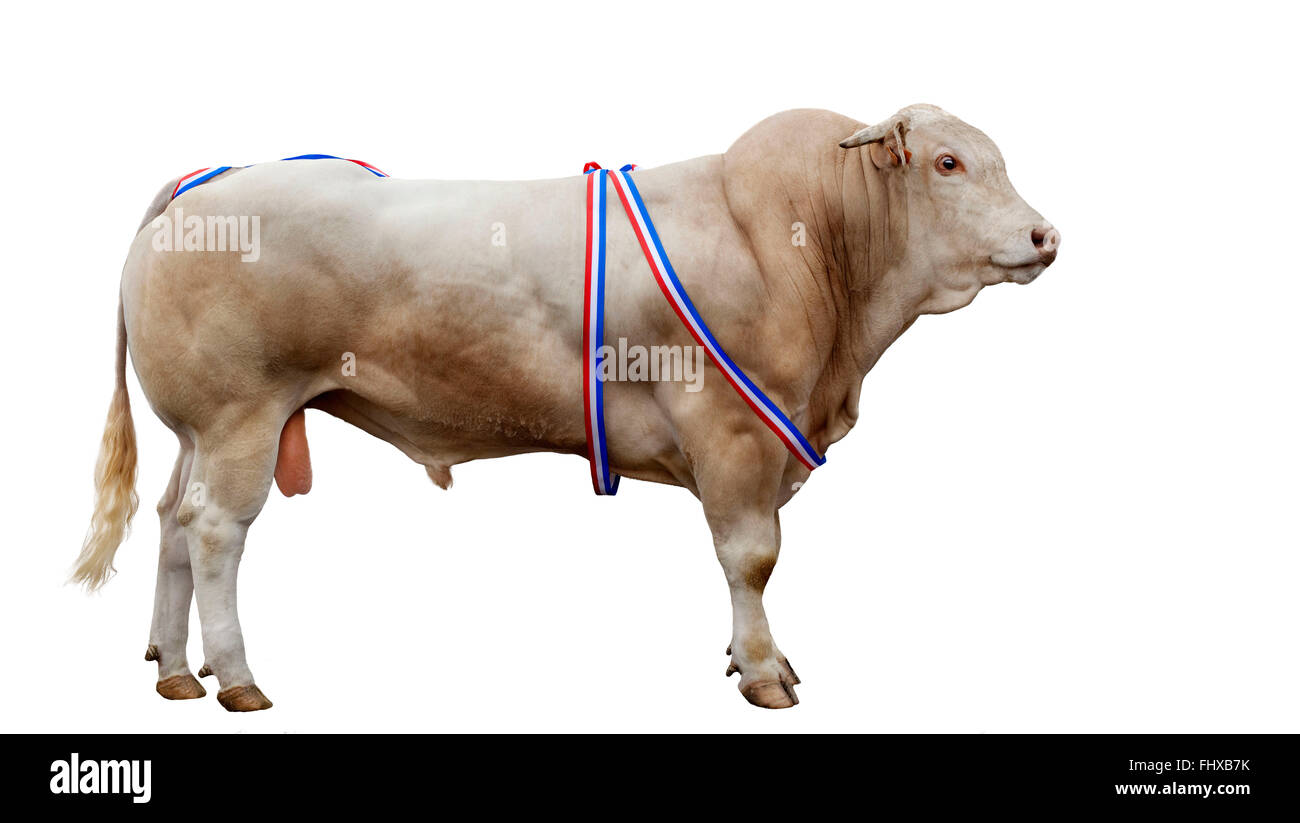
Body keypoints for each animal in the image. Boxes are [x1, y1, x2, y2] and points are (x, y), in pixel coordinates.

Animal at [74, 104, 1059, 711]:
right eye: (949, 162)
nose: (1045, 234)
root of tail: (210, 179)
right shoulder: (736, 434)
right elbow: (751, 558)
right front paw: (763, 670)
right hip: (241, 413)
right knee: (214, 531)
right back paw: (236, 676)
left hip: (201, 428)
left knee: (169, 520)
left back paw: (175, 669)